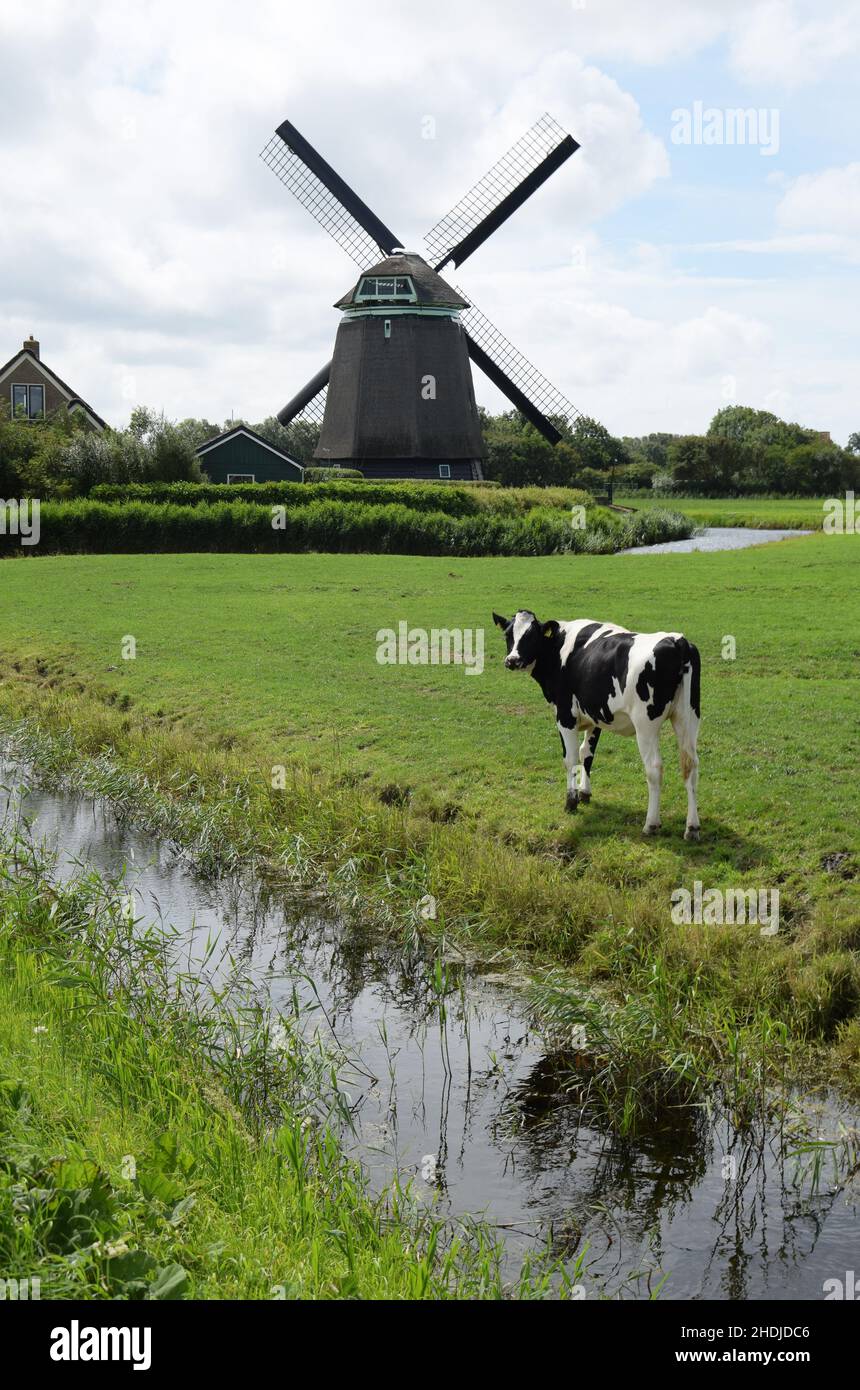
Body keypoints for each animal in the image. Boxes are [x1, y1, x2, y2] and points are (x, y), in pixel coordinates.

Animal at [493, 610, 701, 839]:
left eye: (531, 635)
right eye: (508, 634)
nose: (512, 660)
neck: (558, 648)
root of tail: (677, 640)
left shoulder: (565, 715)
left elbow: (570, 758)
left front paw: (571, 802)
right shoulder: (595, 714)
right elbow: (587, 754)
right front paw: (584, 793)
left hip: (646, 725)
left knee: (654, 768)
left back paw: (651, 823)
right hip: (688, 718)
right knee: (690, 766)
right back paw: (692, 827)